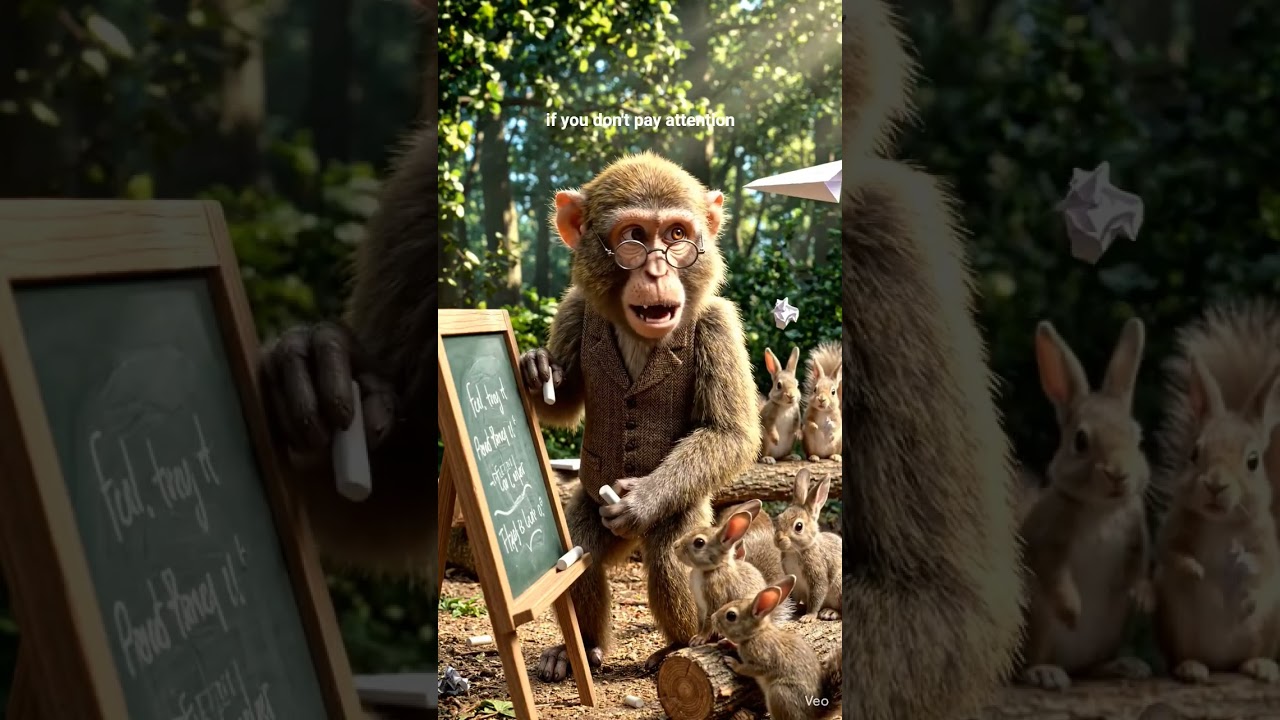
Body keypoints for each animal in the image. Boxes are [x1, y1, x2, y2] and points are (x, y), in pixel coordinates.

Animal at [517, 151, 760, 679]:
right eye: (633, 237)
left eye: (675, 236)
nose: (655, 270)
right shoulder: (574, 307)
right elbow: (564, 405)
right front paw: (537, 368)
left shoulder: (719, 325)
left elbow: (729, 433)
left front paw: (638, 501)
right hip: (589, 504)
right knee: (580, 552)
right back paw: (582, 647)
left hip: (688, 509)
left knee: (670, 556)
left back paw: (679, 645)